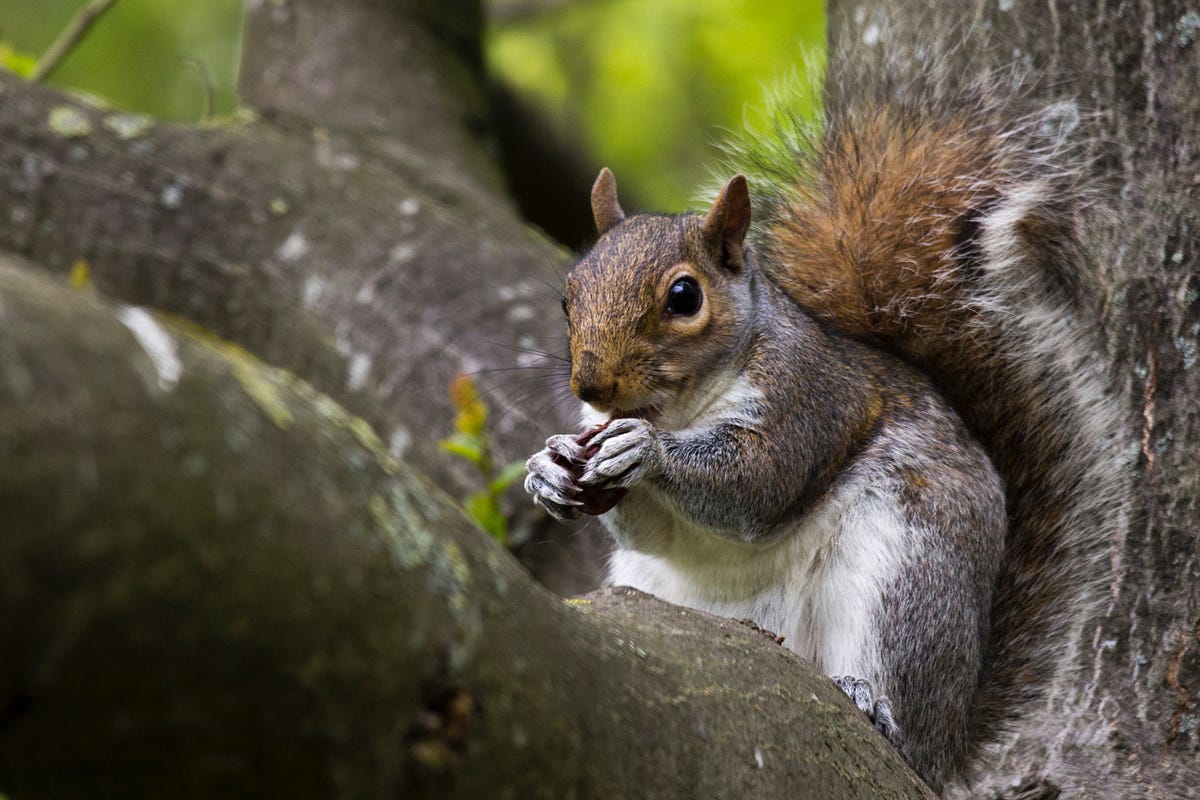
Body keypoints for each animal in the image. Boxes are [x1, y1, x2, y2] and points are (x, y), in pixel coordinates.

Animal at [523, 62, 1125, 793]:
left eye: (684, 297)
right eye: (568, 296)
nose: (591, 386)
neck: (680, 407)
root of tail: (948, 751)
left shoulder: (808, 401)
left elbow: (759, 485)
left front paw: (649, 452)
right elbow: (651, 530)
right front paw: (549, 469)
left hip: (909, 570)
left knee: (903, 696)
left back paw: (874, 706)